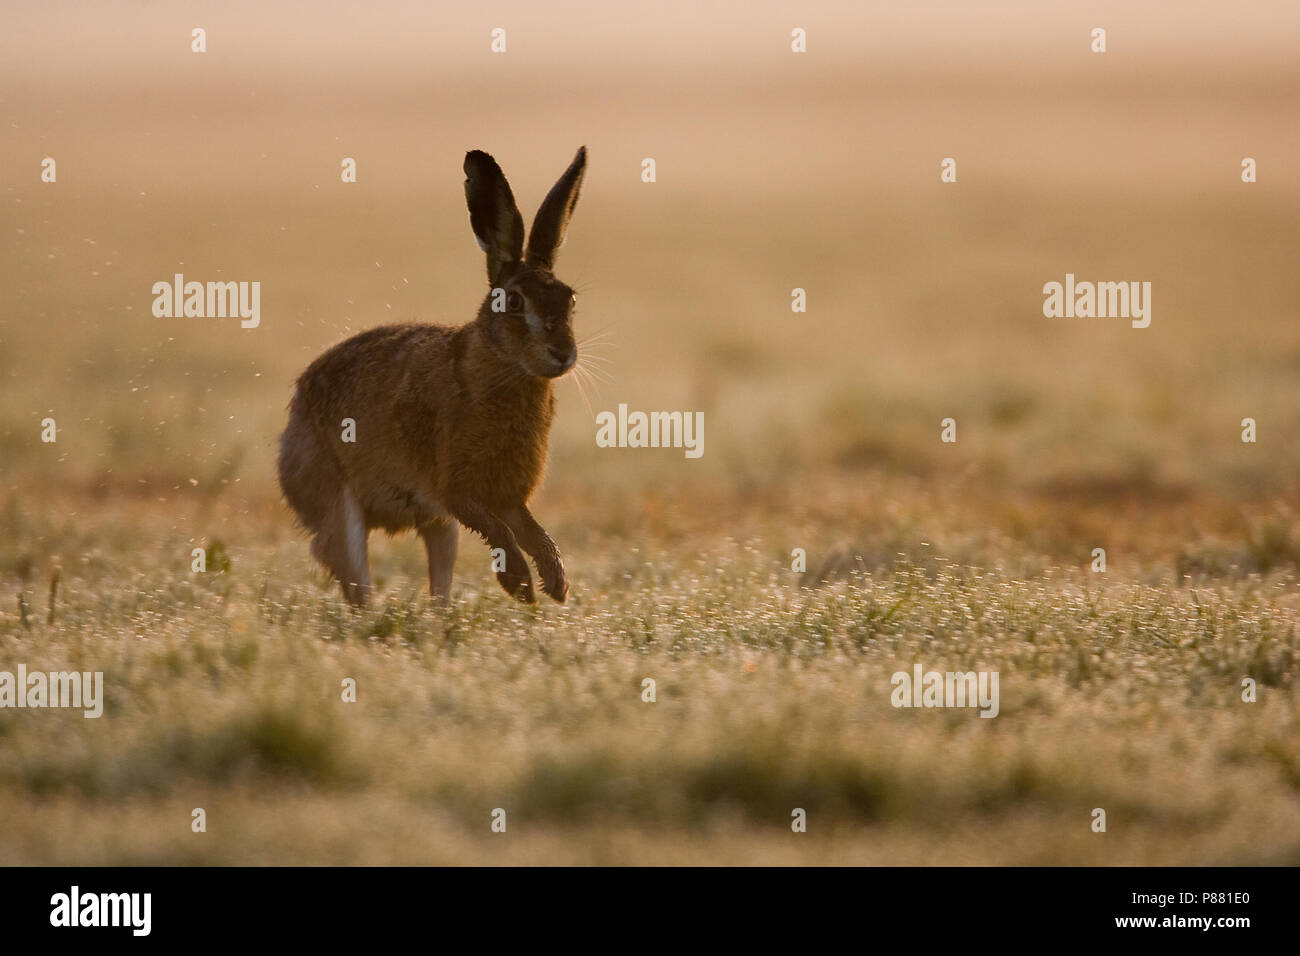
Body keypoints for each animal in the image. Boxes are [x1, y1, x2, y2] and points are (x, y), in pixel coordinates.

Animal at [277, 146, 588, 607]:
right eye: (514, 302)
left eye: (570, 300)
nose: (563, 353)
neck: (500, 368)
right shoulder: (454, 488)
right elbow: (498, 530)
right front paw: (520, 584)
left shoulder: (506, 496)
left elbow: (528, 528)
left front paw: (555, 582)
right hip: (341, 506)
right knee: (348, 568)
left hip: (441, 530)